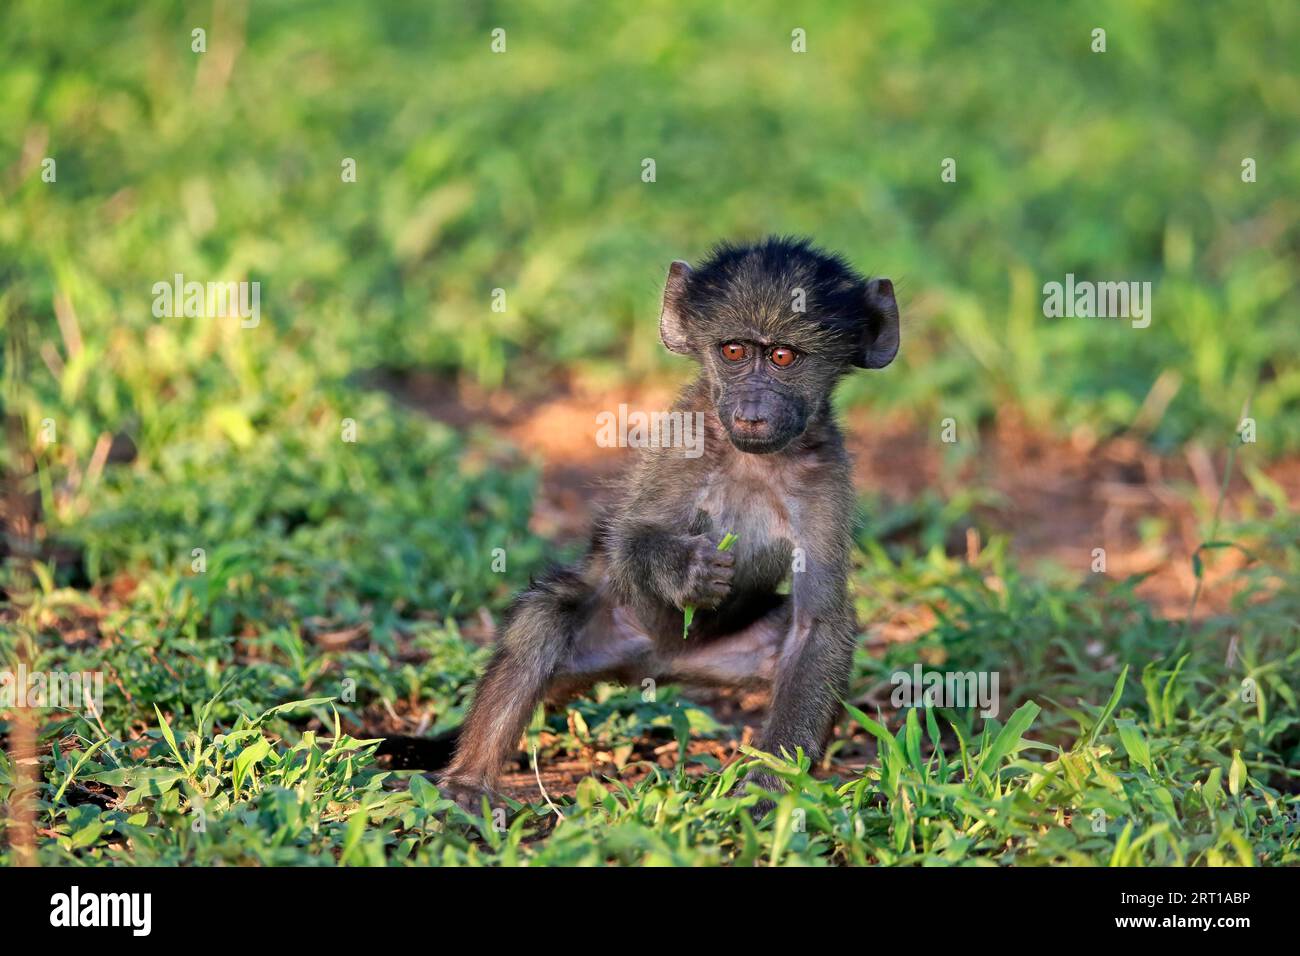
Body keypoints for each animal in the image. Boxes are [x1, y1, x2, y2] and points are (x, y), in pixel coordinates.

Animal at [438, 236, 900, 813]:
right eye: (733, 352)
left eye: (783, 356)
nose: (750, 413)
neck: (754, 461)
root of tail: (653, 662)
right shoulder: (682, 442)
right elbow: (624, 542)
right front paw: (686, 570)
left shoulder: (826, 475)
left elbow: (817, 624)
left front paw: (766, 793)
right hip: (608, 630)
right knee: (546, 614)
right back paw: (468, 783)